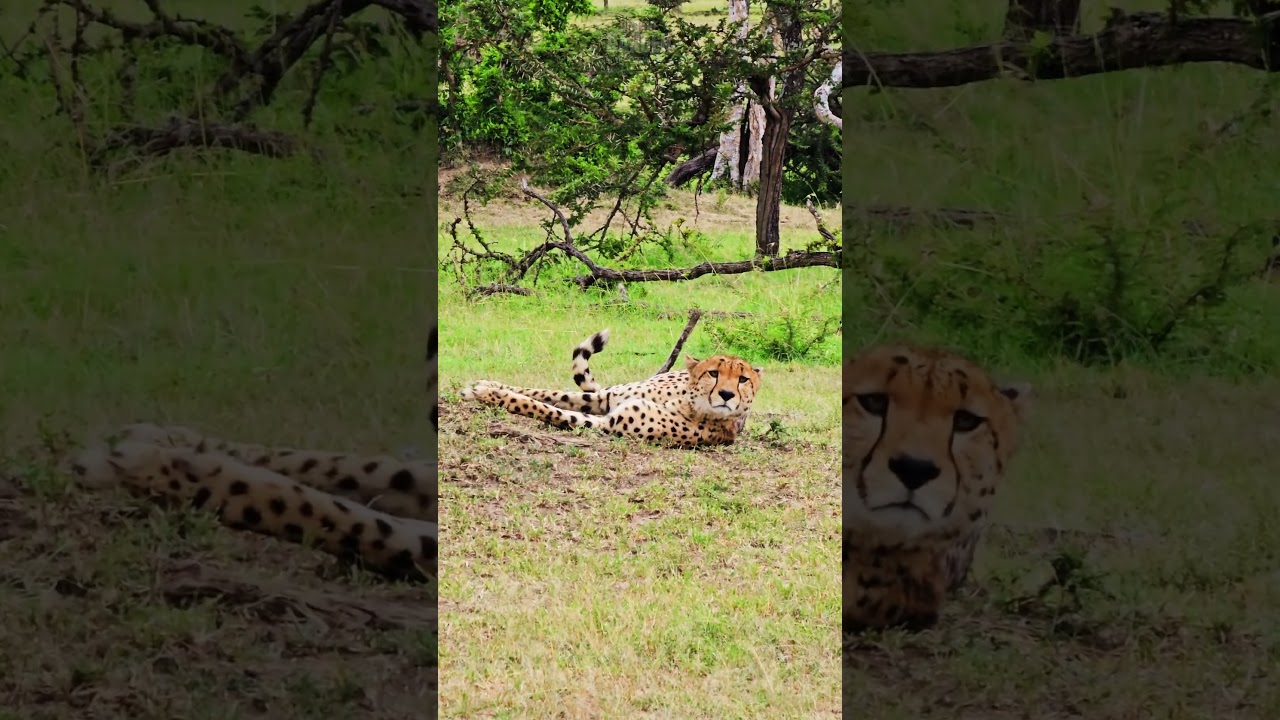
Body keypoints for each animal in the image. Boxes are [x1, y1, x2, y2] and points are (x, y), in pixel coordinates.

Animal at [460, 328, 763, 448]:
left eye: (743, 380)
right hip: (615, 392)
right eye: (713, 373)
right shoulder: (607, 402)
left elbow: (548, 409)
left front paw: (489, 394)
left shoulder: (607, 422)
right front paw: (488, 388)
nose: (727, 395)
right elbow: (548, 396)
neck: (686, 402)